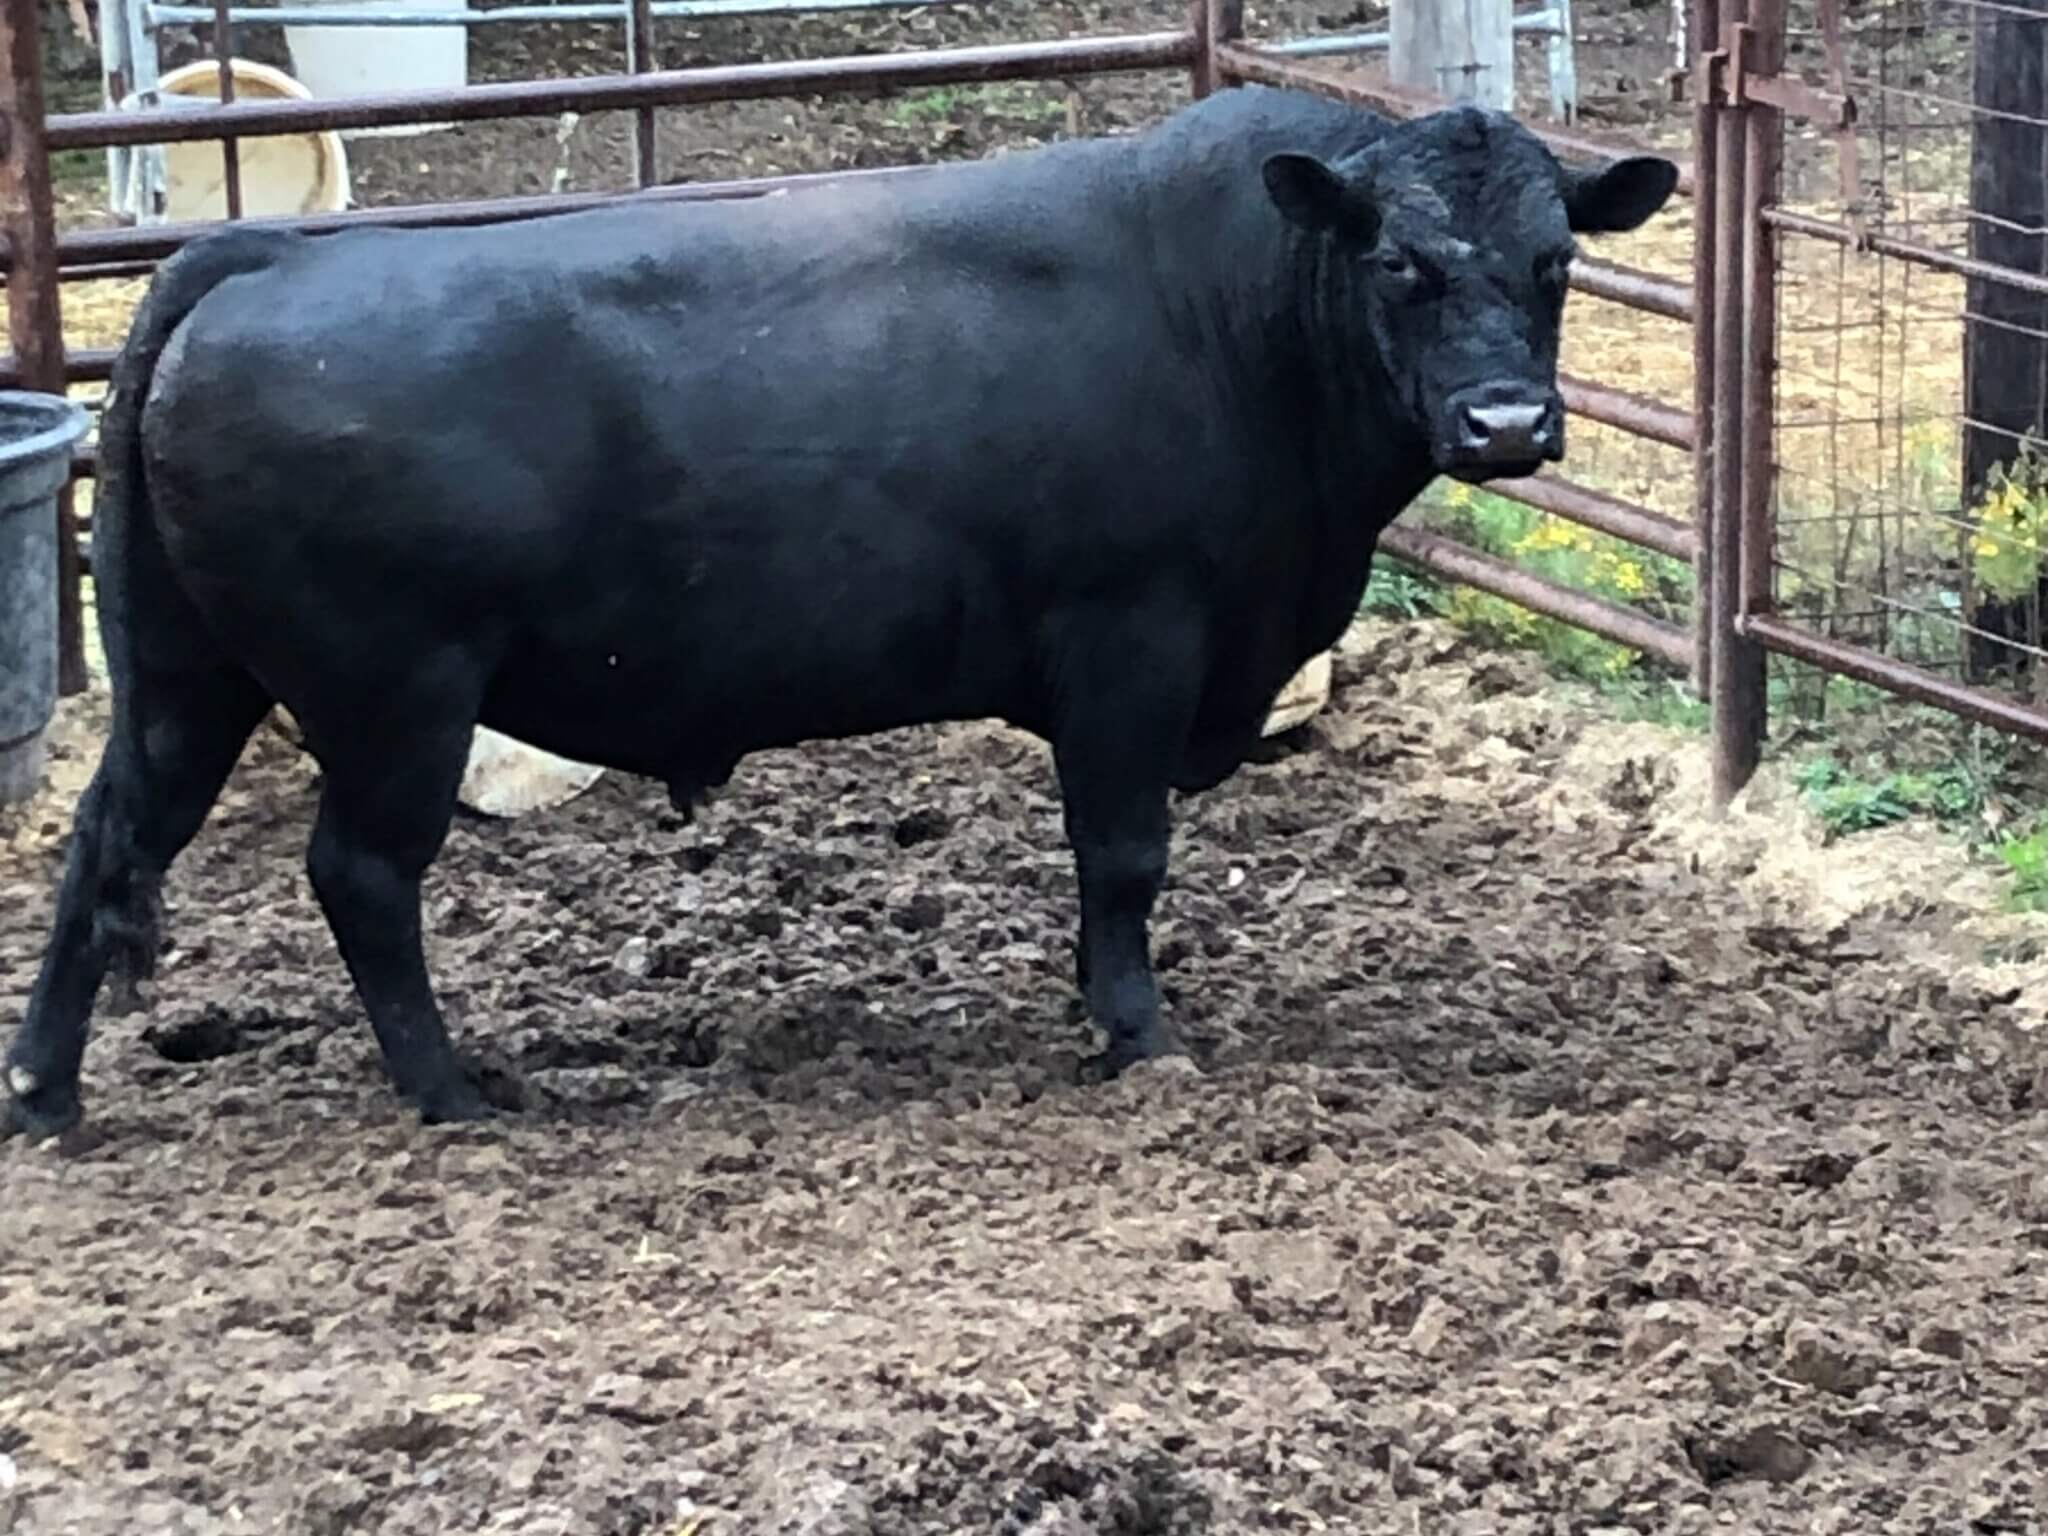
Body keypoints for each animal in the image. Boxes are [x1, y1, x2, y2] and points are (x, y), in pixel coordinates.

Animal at [3, 84, 1677, 1135]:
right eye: (1397, 263)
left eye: (1557, 261)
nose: (1509, 427)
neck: (1242, 317)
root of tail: (262, 257)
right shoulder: (1131, 642)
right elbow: (1124, 855)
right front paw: (1139, 1033)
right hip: (393, 696)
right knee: (358, 876)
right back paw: (454, 1091)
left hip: (192, 680)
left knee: (109, 841)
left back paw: (48, 1096)